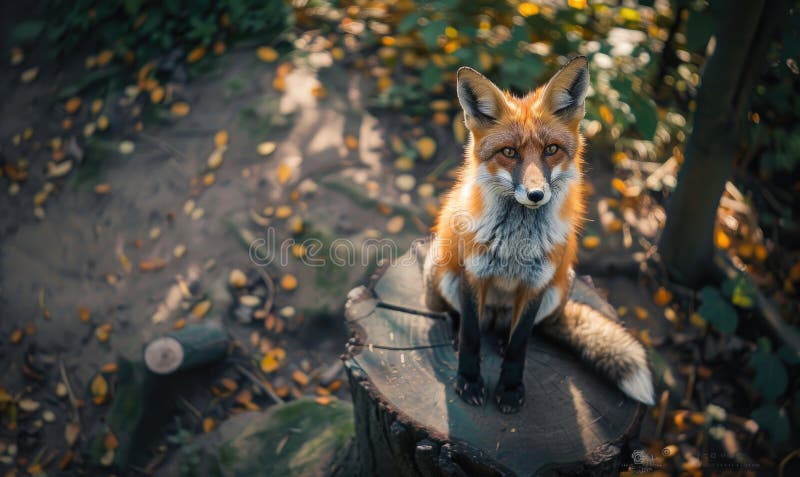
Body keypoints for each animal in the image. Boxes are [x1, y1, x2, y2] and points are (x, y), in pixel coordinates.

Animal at [422, 56, 655, 413]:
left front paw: (510, 389)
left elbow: (520, 342)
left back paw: (500, 340)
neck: (515, 245)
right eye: (509, 152)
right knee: (460, 317)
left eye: (551, 149)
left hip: (559, 287)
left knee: (519, 331)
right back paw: (455, 327)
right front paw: (469, 381)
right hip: (440, 271)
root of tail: (496, 312)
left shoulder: (536, 283)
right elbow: (472, 337)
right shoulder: (474, 275)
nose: (535, 194)